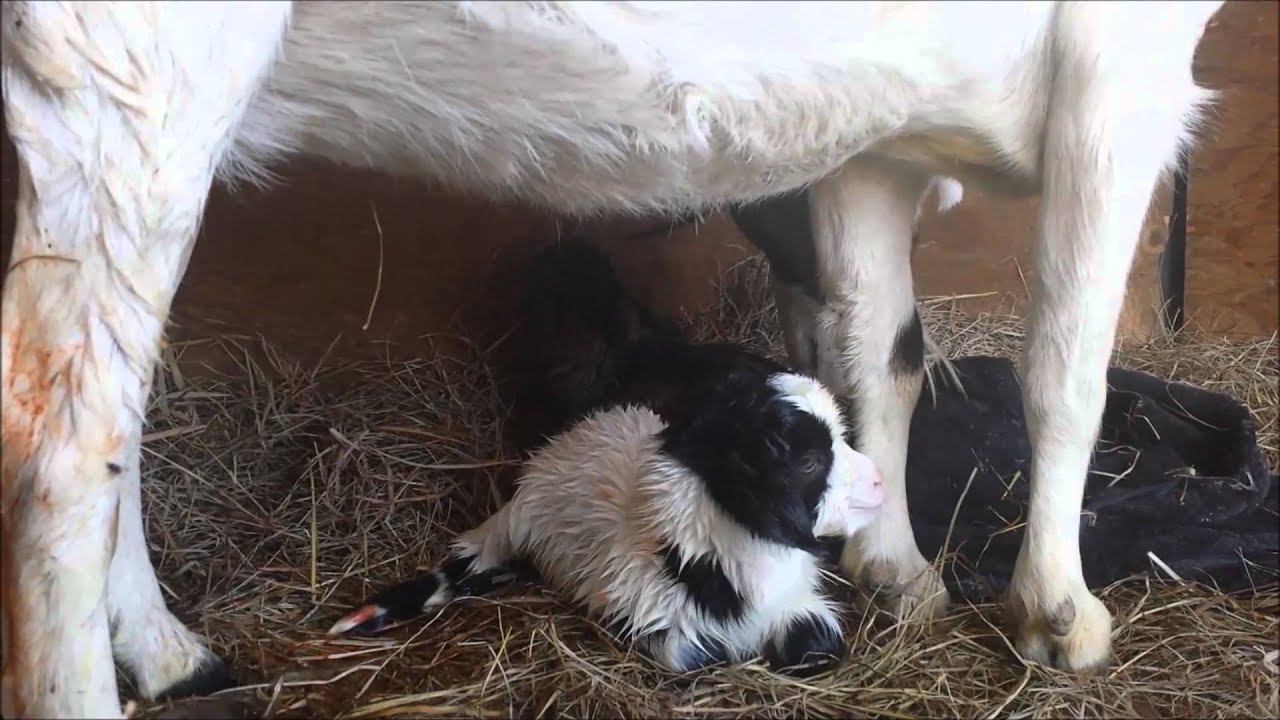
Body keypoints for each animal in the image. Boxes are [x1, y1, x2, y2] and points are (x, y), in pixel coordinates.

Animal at [0, 2, 1224, 717]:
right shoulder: (1118, 56)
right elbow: (1066, 370)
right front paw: (1057, 612)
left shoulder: (873, 125)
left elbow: (881, 349)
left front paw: (895, 570)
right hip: (134, 58)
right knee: (57, 451)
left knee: (111, 412)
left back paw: (168, 652)